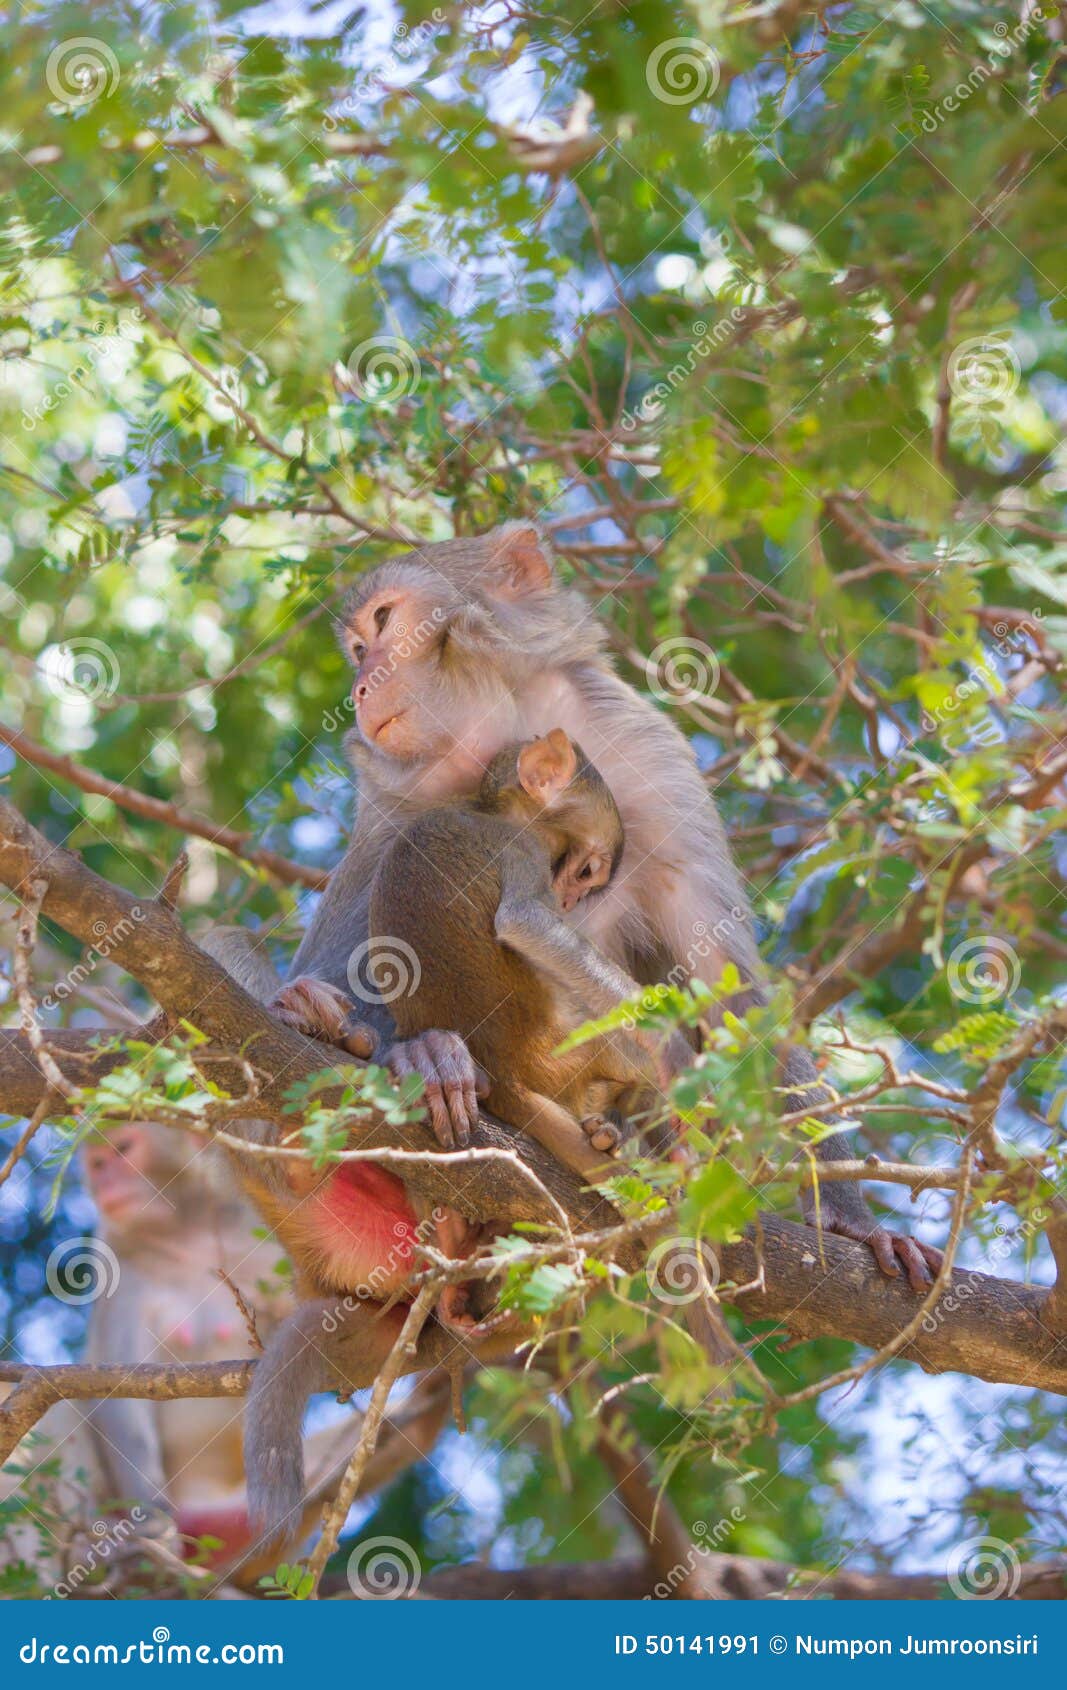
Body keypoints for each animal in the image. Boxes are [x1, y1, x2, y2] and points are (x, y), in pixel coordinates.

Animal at [268, 521, 941, 1292]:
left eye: (383, 621)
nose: (360, 685)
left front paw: (847, 1220)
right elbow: (362, 943)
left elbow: (727, 977)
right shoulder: (392, 799)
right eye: (356, 647)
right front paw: (392, 1041)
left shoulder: (644, 752)